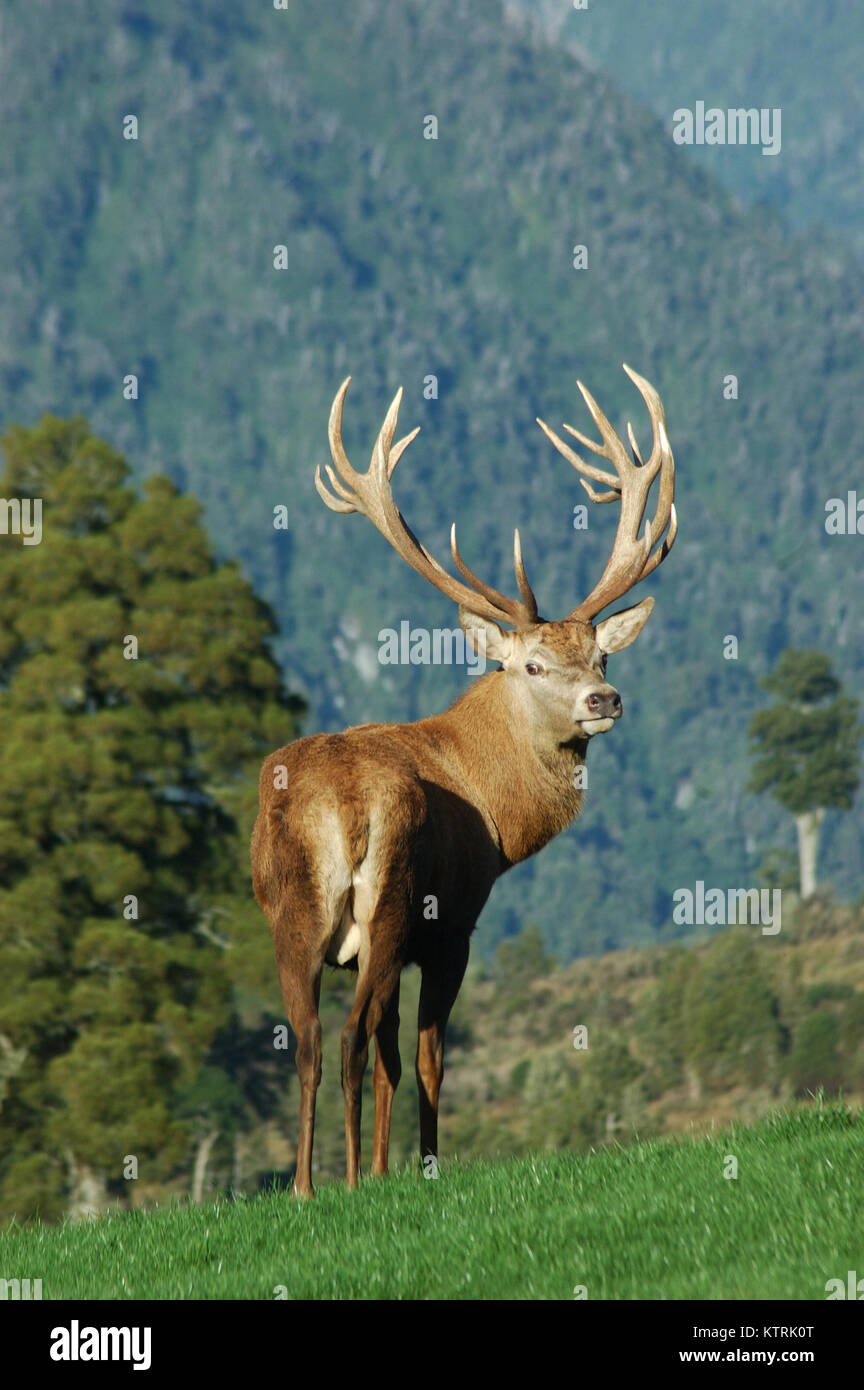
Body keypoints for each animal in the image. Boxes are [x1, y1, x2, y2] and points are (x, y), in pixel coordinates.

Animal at [251, 364, 677, 1197]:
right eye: (534, 665)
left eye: (602, 655)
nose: (604, 700)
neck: (497, 814)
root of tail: (344, 807)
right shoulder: (452, 924)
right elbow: (424, 1059)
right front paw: (417, 1169)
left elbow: (390, 1057)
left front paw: (384, 1168)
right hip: (390, 907)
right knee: (350, 1039)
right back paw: (346, 1182)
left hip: (296, 917)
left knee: (312, 1041)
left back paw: (310, 1185)